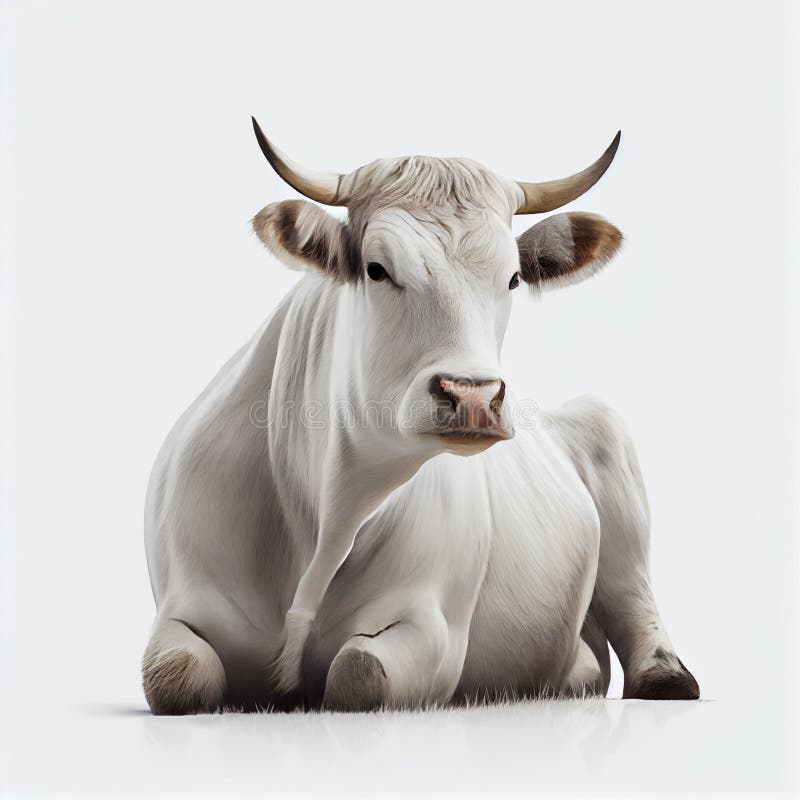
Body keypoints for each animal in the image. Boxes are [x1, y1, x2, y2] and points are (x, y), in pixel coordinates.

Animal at [141, 119, 700, 714]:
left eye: (513, 278)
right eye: (377, 268)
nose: (475, 395)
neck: (327, 513)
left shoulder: (434, 630)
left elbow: (359, 672)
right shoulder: (182, 607)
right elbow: (176, 677)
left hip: (607, 439)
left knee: (634, 596)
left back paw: (661, 676)